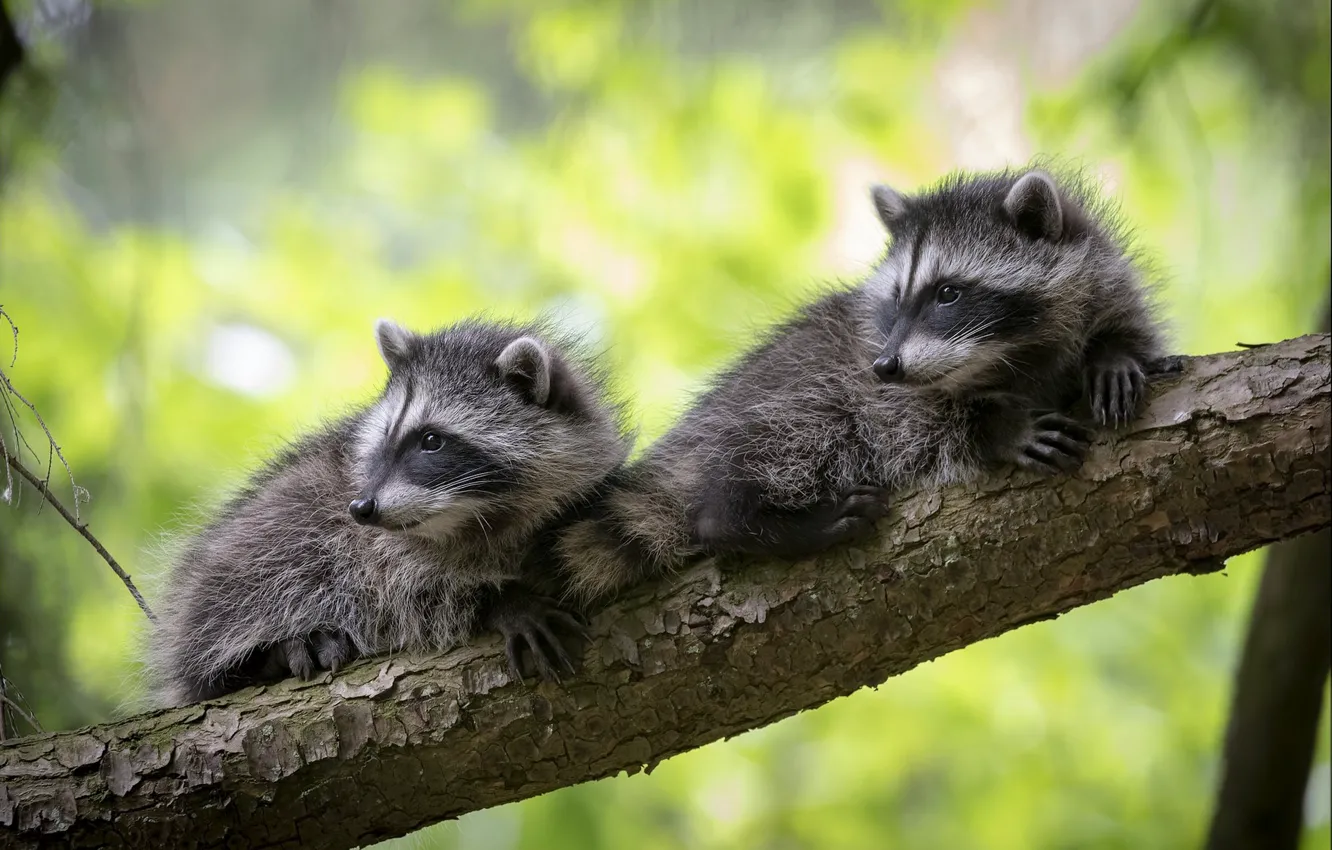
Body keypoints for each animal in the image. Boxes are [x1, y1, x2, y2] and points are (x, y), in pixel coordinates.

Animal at [148, 318, 630, 704]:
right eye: (383, 436)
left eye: (432, 440)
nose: (362, 507)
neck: (478, 516)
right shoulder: (371, 546)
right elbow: (412, 597)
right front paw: (502, 600)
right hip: (255, 545)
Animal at [541, 166, 1168, 602]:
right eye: (895, 298)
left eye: (948, 293)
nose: (887, 366)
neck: (1012, 355)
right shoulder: (875, 384)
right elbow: (916, 423)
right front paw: (997, 426)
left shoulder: (1099, 276)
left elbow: (1126, 323)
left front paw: (1113, 355)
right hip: (774, 405)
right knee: (795, 434)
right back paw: (745, 516)